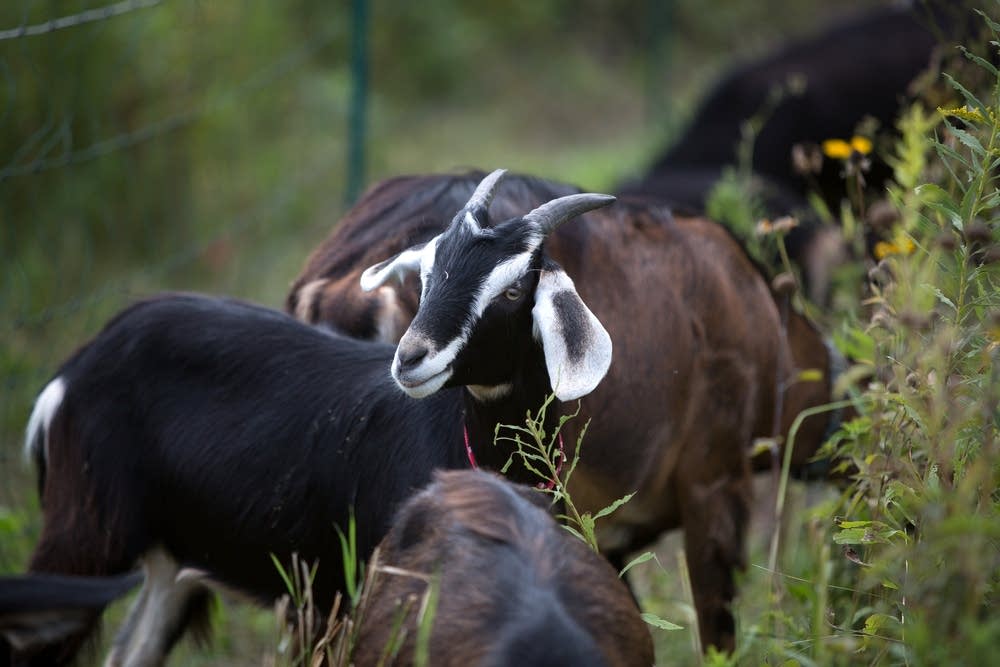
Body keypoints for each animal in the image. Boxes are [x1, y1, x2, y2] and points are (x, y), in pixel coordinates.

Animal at [21, 170, 616, 666]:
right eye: (425, 276)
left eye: (513, 289)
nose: (410, 358)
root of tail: (76, 368)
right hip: (84, 535)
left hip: (172, 562)